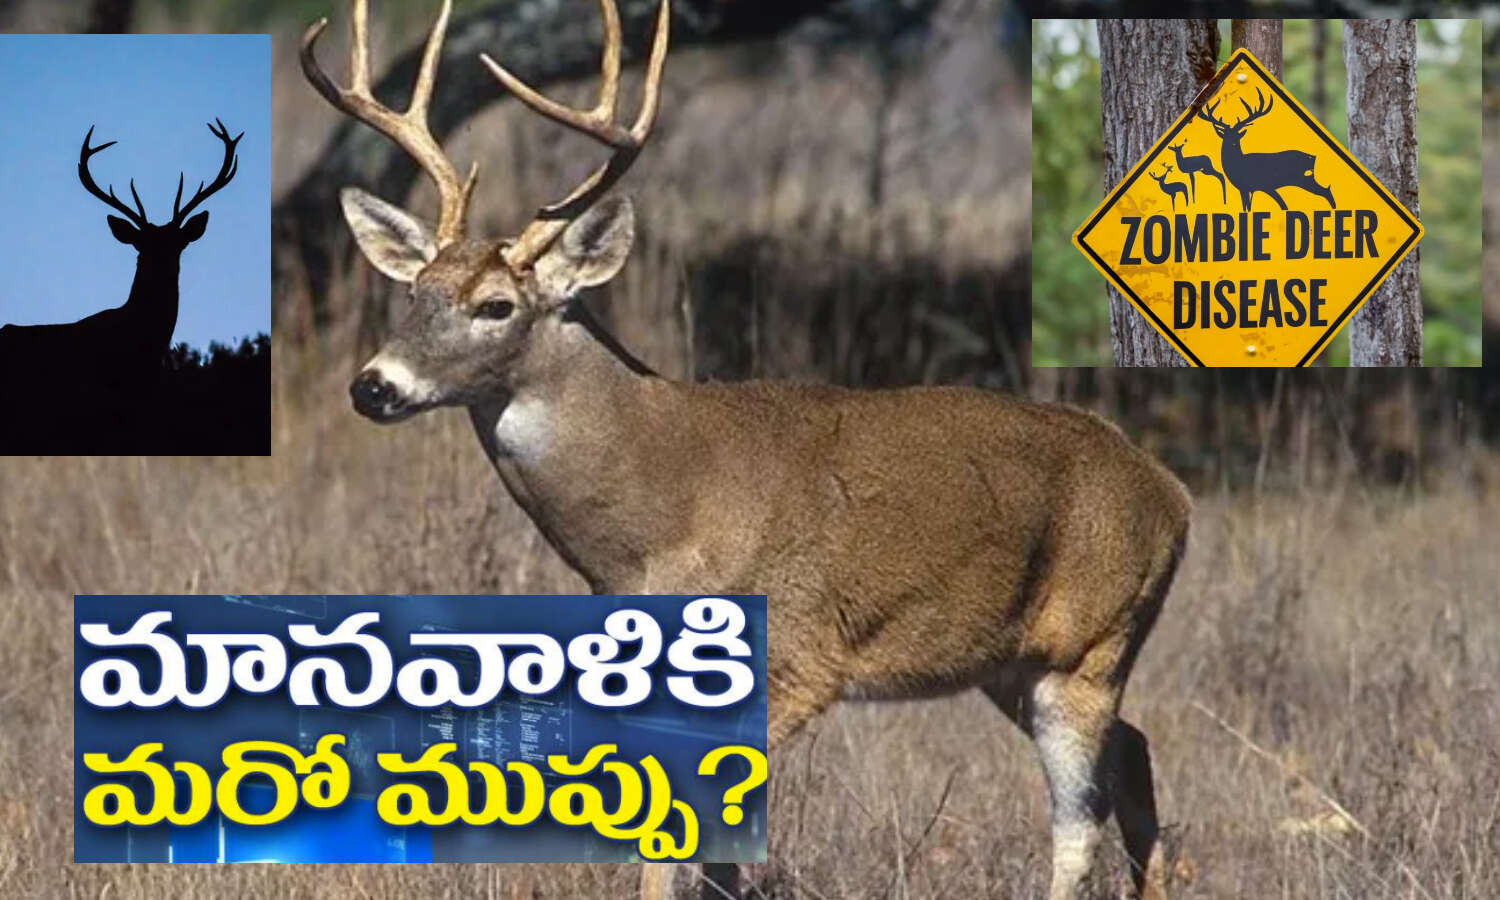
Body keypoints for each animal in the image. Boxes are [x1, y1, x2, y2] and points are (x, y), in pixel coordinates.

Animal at [300, 2, 1191, 899]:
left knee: (1078, 820)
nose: (372, 385)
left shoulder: (791, 657)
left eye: (495, 305)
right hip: (1013, 661)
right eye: (415, 293)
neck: (658, 514)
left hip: (1089, 645)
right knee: (1137, 752)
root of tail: (1172, 494)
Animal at [1196, 88, 1335, 212]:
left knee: (1325, 191)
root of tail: (1313, 158)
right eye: (1225, 136)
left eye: (1237, 136)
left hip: (1304, 179)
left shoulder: (1253, 186)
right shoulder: (1245, 188)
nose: (1233, 143)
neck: (1237, 165)